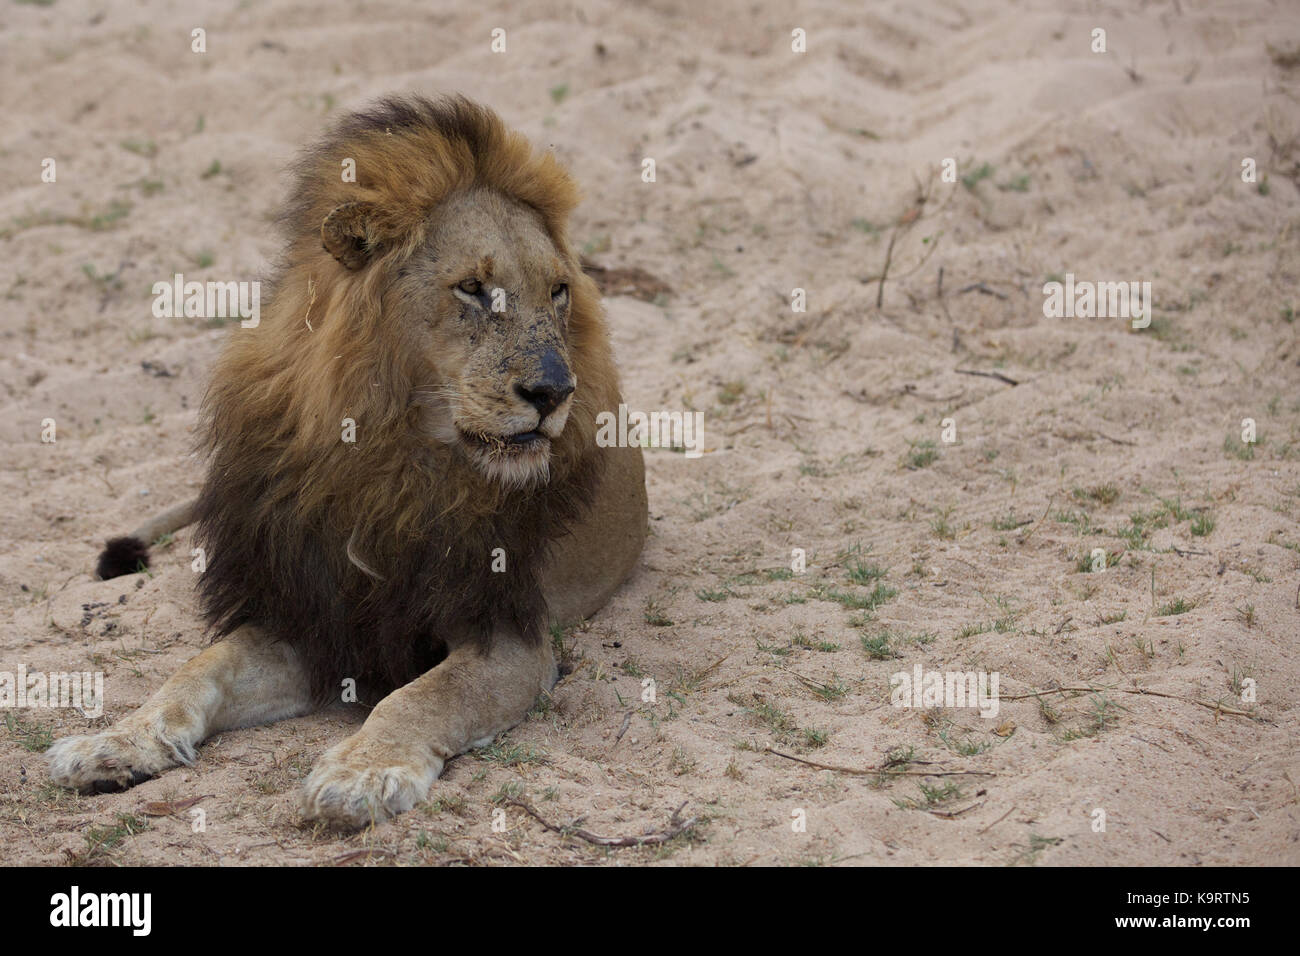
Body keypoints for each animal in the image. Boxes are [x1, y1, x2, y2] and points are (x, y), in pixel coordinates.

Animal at [46, 95, 648, 829]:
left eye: (559, 292)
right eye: (473, 289)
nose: (555, 392)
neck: (389, 458)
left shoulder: (509, 634)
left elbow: (423, 696)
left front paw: (364, 770)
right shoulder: (308, 614)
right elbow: (197, 670)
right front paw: (114, 743)